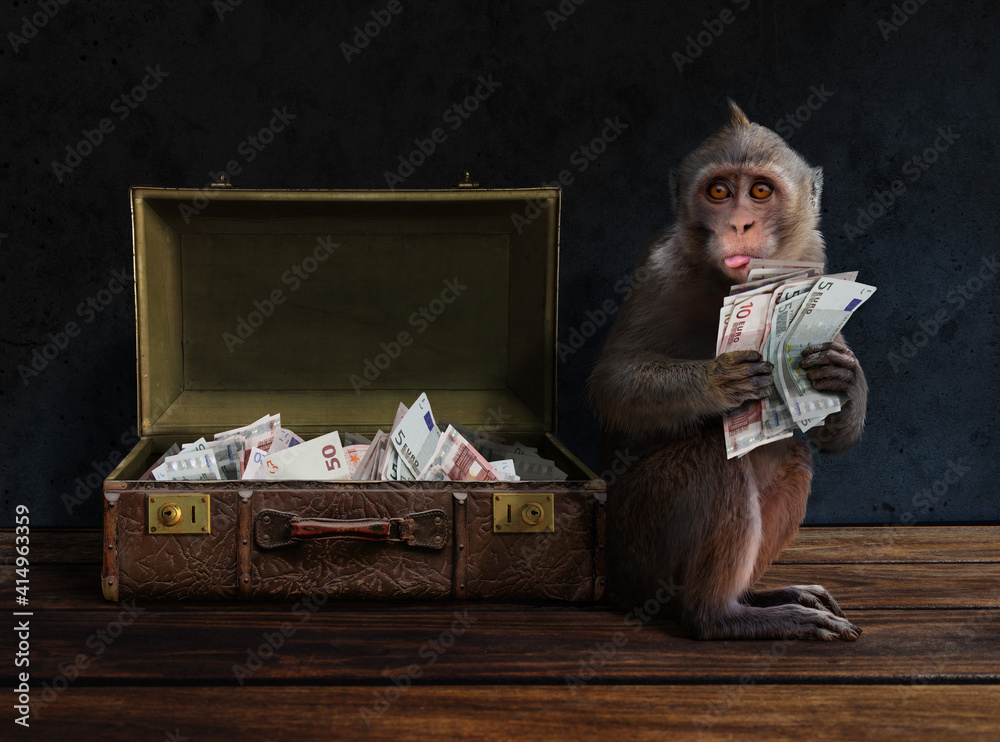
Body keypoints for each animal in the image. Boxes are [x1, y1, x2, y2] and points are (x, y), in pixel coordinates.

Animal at [588, 101, 867, 641]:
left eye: (759, 191)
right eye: (719, 192)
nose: (739, 223)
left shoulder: (811, 262)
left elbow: (827, 434)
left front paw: (841, 377)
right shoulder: (661, 266)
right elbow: (612, 384)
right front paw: (719, 380)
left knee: (791, 457)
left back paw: (755, 597)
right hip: (637, 543)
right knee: (718, 457)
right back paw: (720, 615)